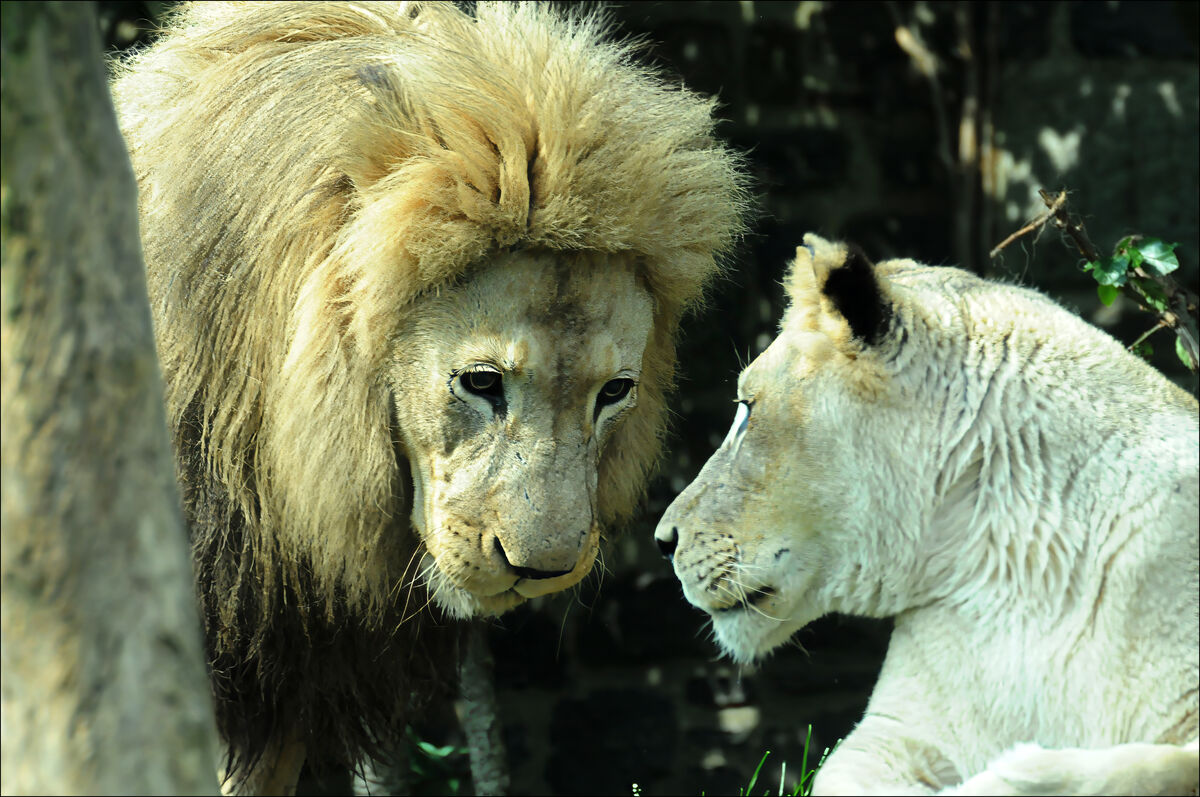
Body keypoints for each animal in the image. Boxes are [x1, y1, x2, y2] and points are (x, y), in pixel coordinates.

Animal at [655, 234, 1199, 795]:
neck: (1019, 573)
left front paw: (1021, 767)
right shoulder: (892, 734)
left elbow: (1159, 767)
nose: (662, 540)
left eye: (746, 411)